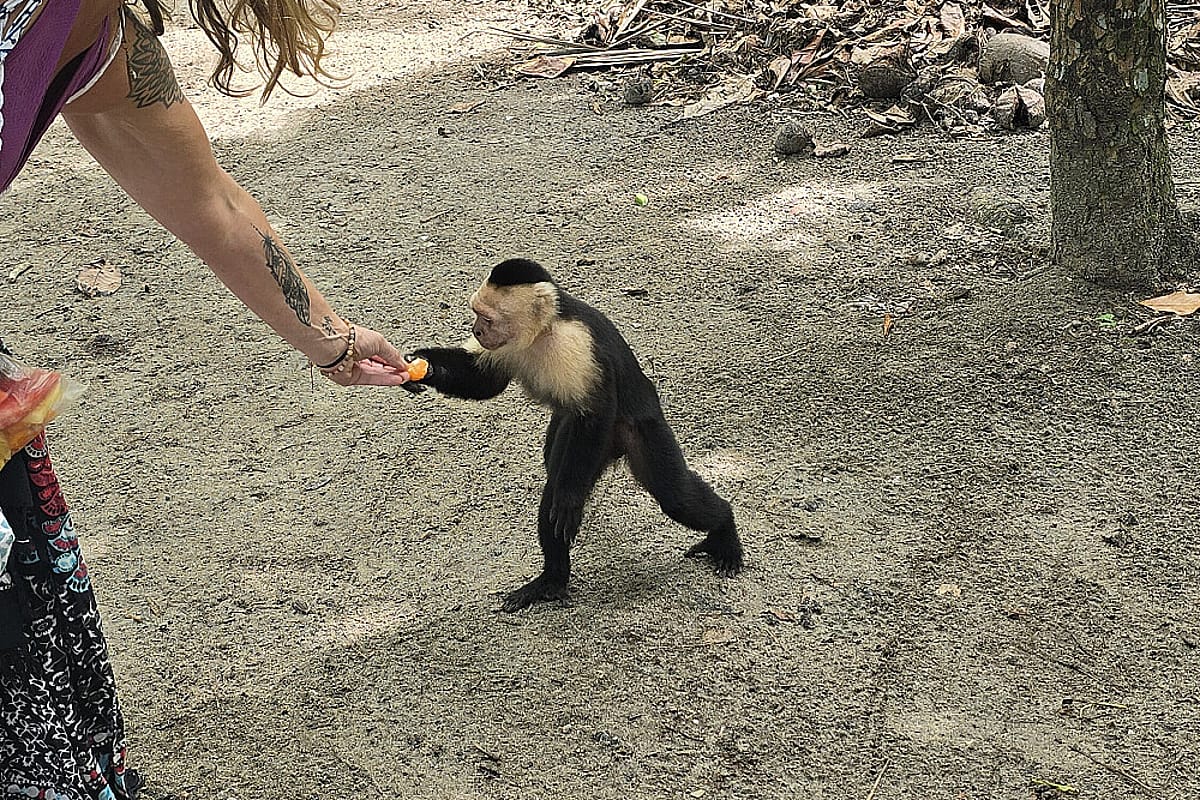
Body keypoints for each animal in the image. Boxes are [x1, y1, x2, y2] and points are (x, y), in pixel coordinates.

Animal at [407, 259, 743, 612]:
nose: (476, 331)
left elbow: (595, 411)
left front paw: (570, 499)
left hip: (633, 431)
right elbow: (484, 380)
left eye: (486, 317)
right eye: (477, 315)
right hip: (572, 434)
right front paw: (422, 367)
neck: (543, 331)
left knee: (674, 495)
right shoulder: (504, 346)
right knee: (554, 477)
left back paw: (724, 529)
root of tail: (616, 446)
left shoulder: (576, 343)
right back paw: (551, 580)